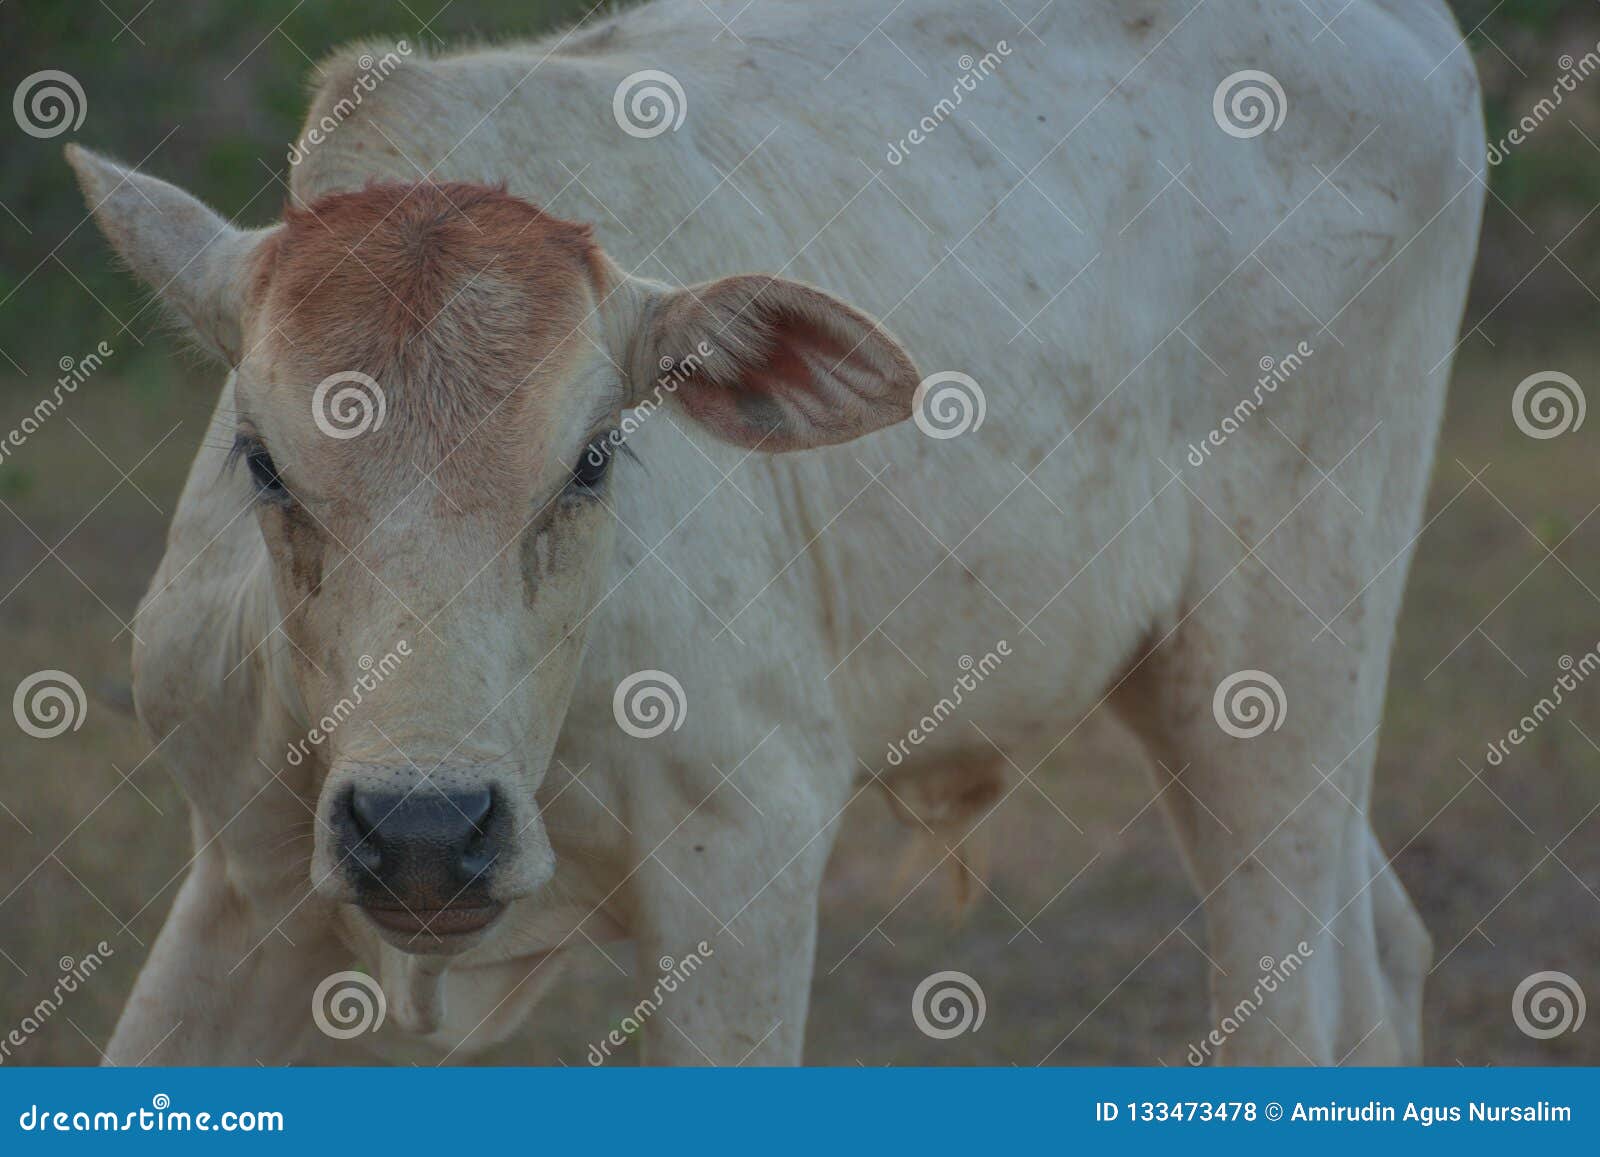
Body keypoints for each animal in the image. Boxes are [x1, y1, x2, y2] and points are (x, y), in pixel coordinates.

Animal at [68, 0, 1485, 1065]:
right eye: (264, 460)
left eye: (593, 458)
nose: (424, 830)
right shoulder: (240, 871)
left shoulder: (744, 869)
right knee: (1382, 949)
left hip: (1282, 655)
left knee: (1298, 1001)